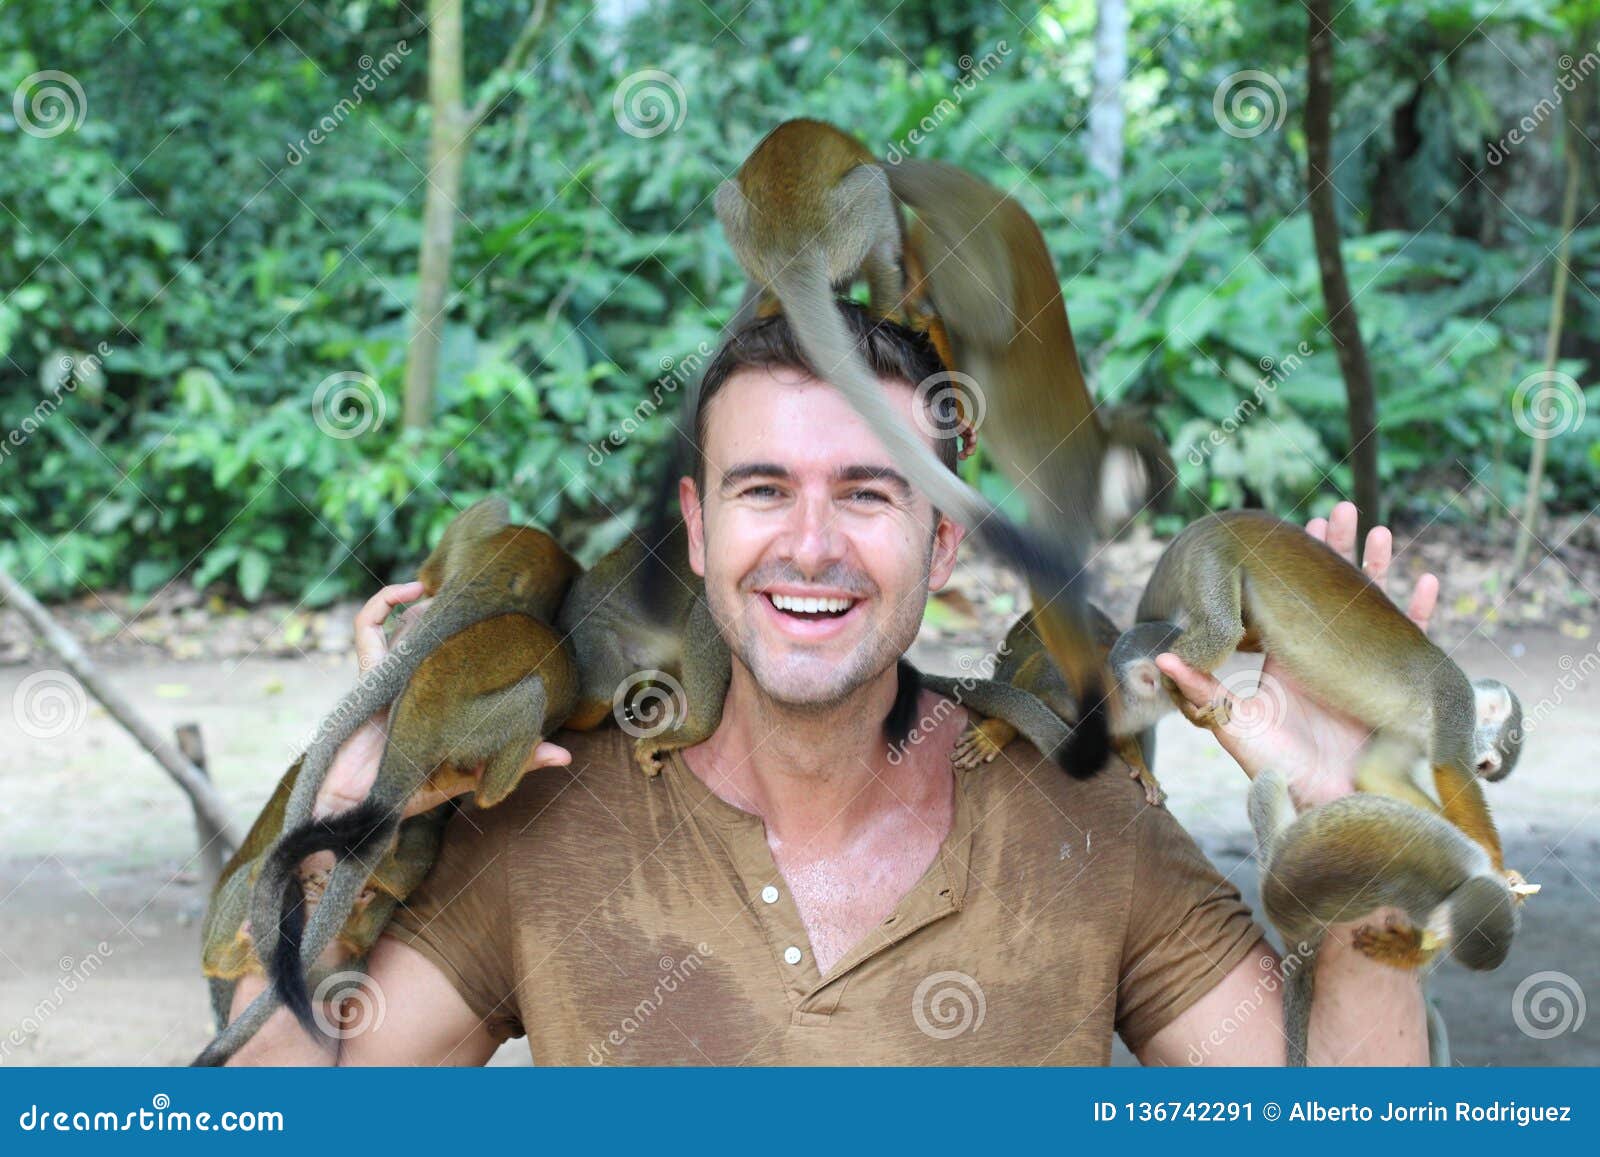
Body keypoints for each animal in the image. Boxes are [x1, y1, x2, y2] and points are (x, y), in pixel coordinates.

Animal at [1101, 509, 1524, 876]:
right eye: (1485, 767)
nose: (1480, 767)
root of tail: (1225, 519)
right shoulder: (1453, 702)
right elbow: (1451, 770)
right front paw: (1495, 863)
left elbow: (1375, 775)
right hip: (1213, 558)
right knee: (1222, 630)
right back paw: (1175, 682)